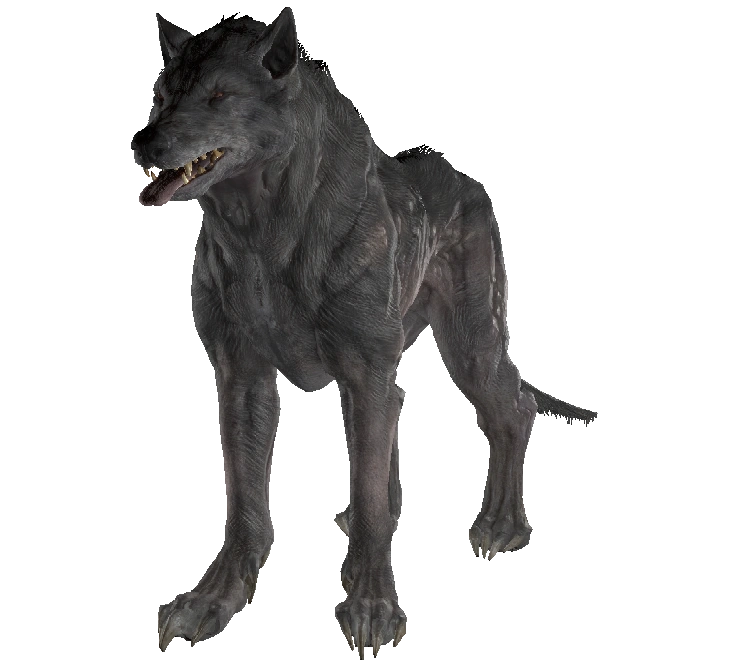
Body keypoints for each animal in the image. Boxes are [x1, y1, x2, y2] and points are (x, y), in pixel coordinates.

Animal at [132, 5, 598, 657]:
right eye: (165, 92)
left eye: (220, 95)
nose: (142, 139)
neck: (264, 229)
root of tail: (465, 176)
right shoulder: (244, 376)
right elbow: (245, 499)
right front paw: (214, 601)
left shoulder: (367, 369)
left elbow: (373, 496)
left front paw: (372, 607)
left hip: (472, 346)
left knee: (514, 409)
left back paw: (502, 524)